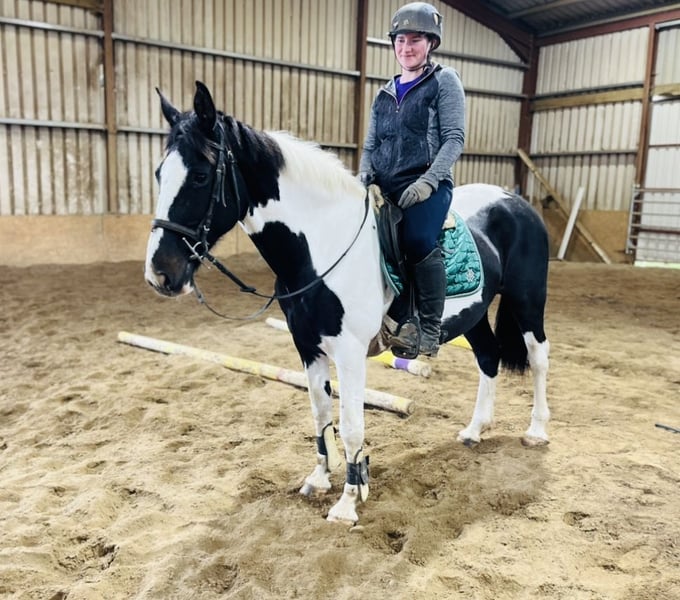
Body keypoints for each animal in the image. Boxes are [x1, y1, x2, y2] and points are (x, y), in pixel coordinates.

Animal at [144, 81, 550, 524]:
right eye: (159, 173)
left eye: (201, 176)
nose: (159, 274)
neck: (322, 244)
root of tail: (514, 200)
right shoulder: (308, 346)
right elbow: (321, 414)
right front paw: (320, 479)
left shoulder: (351, 352)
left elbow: (352, 424)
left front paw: (348, 502)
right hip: (473, 316)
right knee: (489, 358)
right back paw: (474, 432)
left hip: (528, 302)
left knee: (538, 358)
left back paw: (536, 432)